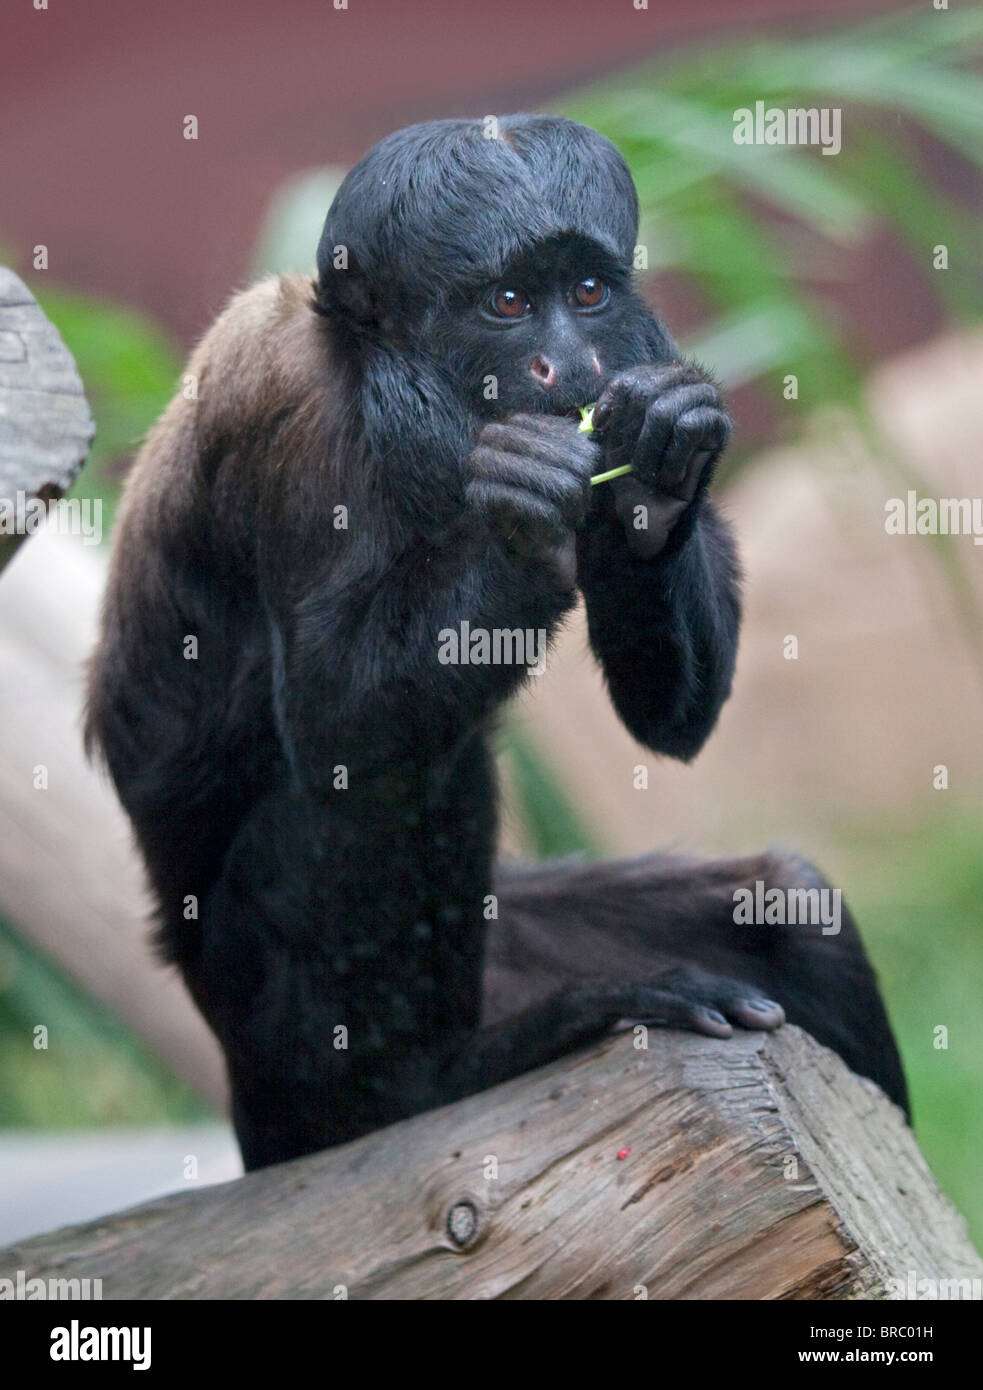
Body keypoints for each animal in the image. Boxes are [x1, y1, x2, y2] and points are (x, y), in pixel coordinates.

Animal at [85, 115, 907, 1171]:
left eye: (587, 293)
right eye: (508, 305)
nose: (569, 368)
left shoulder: (643, 344)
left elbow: (674, 723)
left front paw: (655, 480)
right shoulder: (294, 417)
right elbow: (336, 732)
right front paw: (520, 509)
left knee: (792, 904)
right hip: (271, 1032)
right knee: (393, 778)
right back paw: (435, 1080)